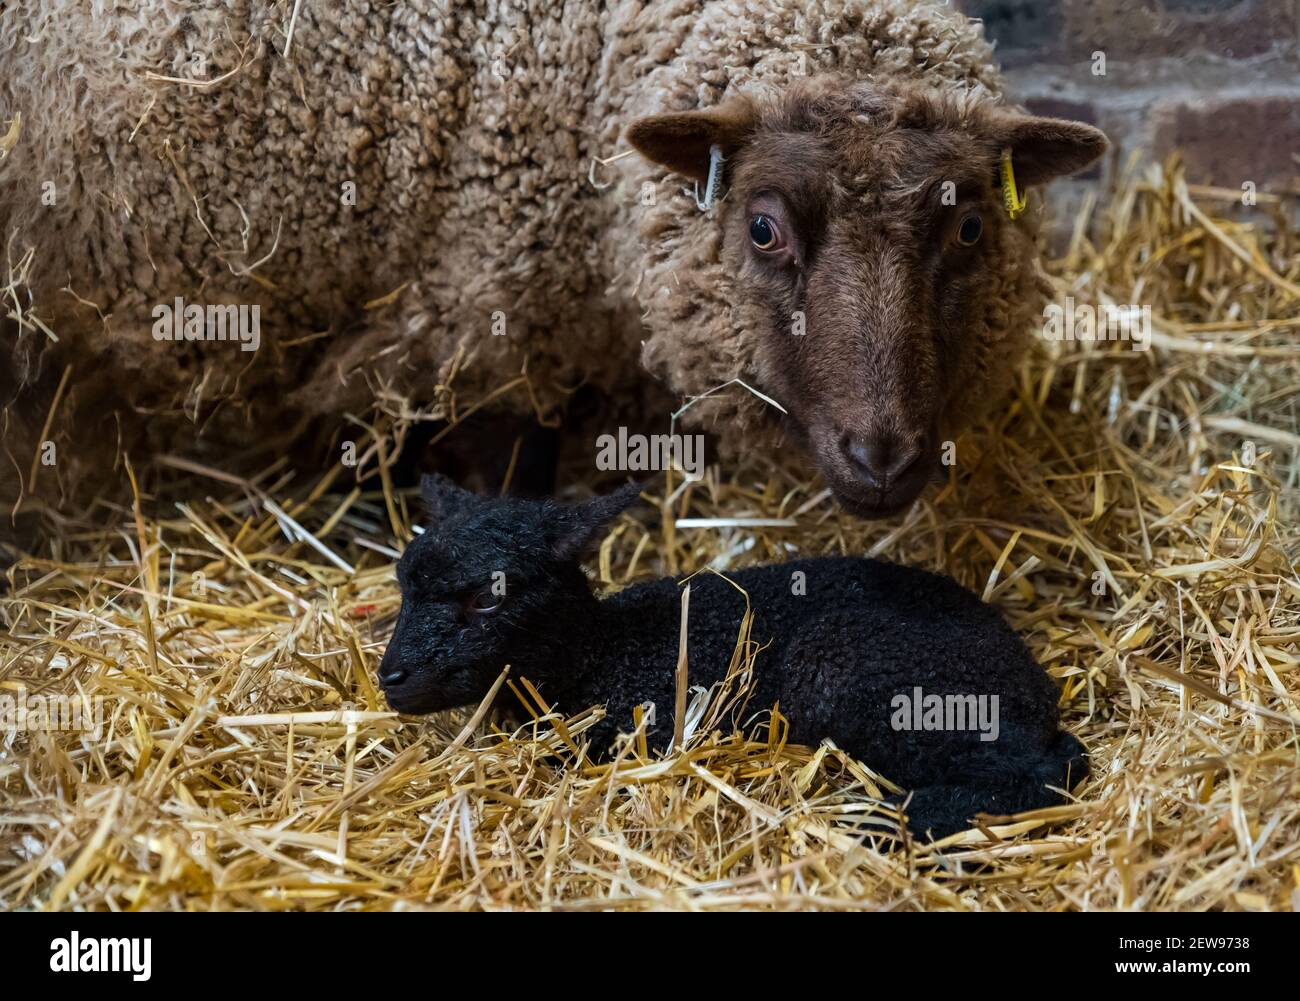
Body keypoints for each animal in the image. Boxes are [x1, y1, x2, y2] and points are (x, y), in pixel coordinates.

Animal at [379, 474, 1089, 839]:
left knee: (1039, 772)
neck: (598, 652)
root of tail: (1034, 686)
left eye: (486, 599)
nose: (391, 678)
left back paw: (889, 820)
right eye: (403, 582)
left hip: (861, 674)